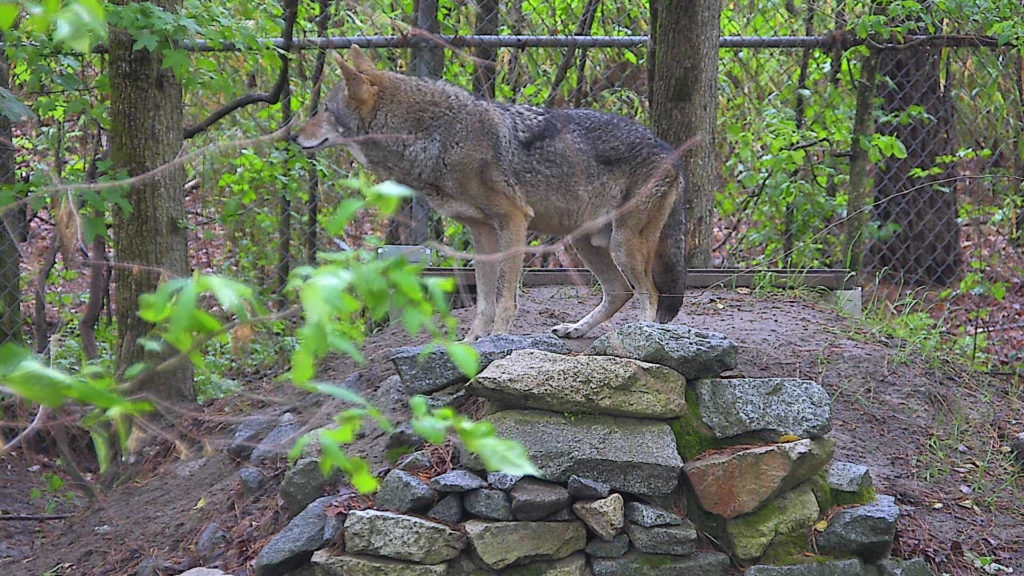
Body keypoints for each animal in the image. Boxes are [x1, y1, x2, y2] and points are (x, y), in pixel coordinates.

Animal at [293, 46, 687, 340]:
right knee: (619, 291)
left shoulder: (513, 220)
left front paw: (498, 338)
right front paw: (471, 343)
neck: (435, 134)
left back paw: (643, 336)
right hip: (584, 243)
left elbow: (505, 296)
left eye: (323, 110)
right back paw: (576, 329)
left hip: (622, 244)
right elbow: (483, 300)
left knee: (648, 293)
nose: (295, 137)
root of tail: (670, 150)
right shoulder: (480, 231)